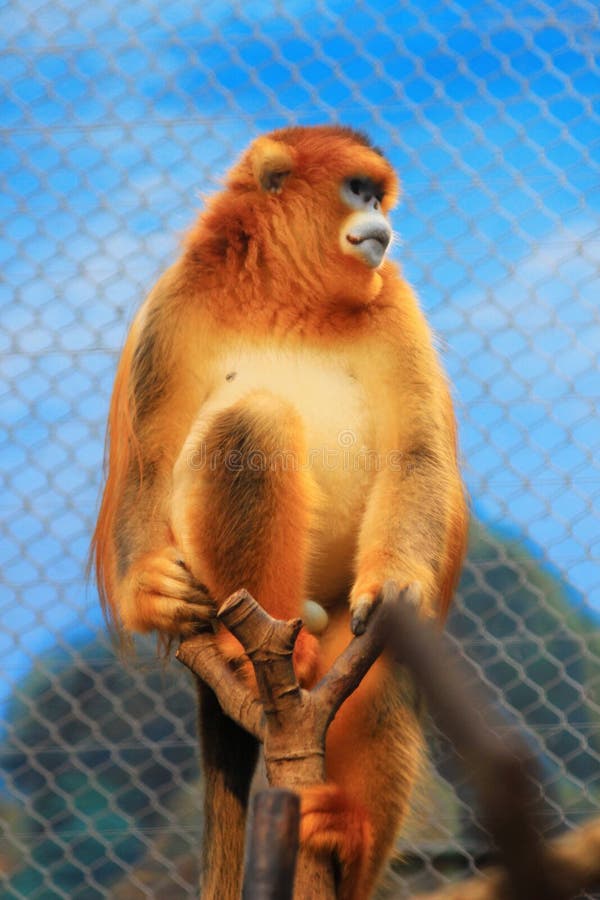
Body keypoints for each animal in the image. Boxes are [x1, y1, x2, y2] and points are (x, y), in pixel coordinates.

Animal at [92, 125, 468, 899]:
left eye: (377, 195)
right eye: (358, 190)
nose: (382, 222)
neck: (287, 292)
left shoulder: (396, 299)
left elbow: (416, 453)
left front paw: (398, 583)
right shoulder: (174, 302)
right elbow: (148, 459)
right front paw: (148, 589)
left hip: (341, 632)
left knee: (384, 683)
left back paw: (347, 841)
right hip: (237, 606)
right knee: (252, 424)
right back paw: (253, 650)